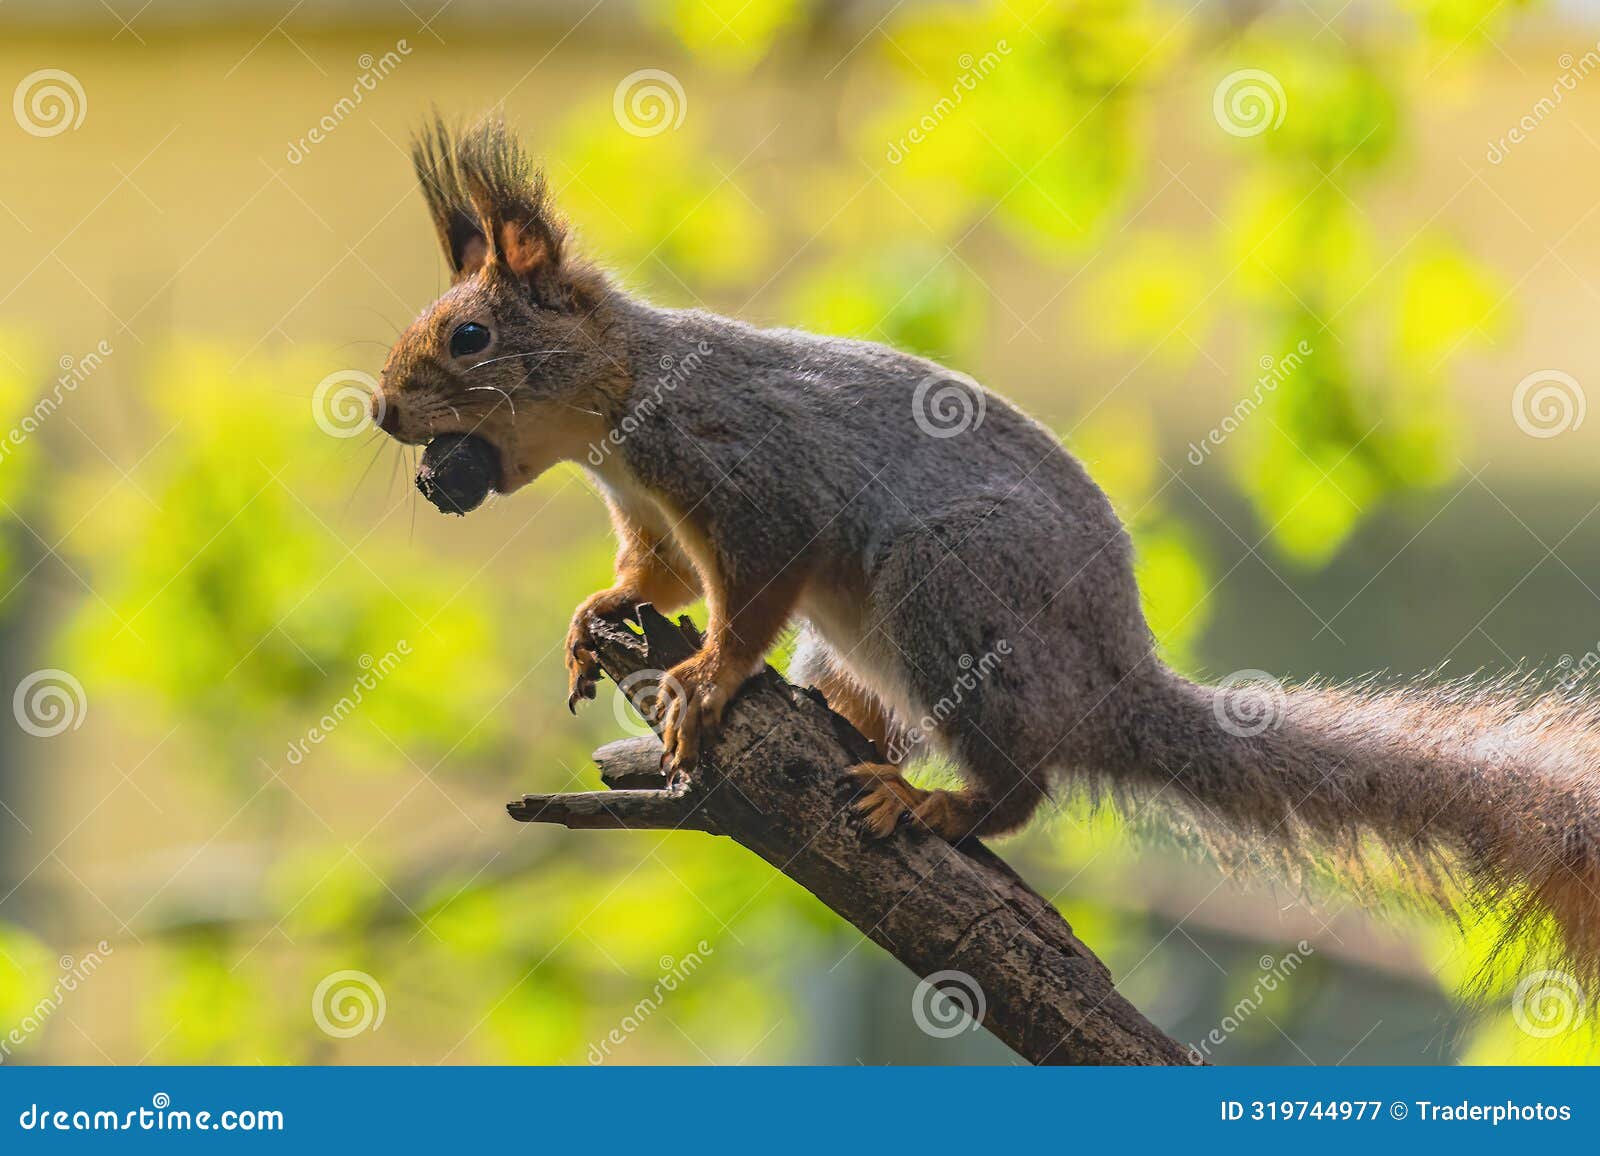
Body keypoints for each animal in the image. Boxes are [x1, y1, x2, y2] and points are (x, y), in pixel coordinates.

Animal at [375, 114, 1600, 980]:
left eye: (469, 334)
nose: (383, 412)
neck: (621, 406)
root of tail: (1112, 685)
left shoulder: (751, 477)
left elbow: (751, 592)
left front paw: (705, 676)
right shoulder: (652, 515)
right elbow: (655, 575)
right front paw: (596, 616)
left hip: (949, 591)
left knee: (1022, 781)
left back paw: (937, 805)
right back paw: (854, 727)